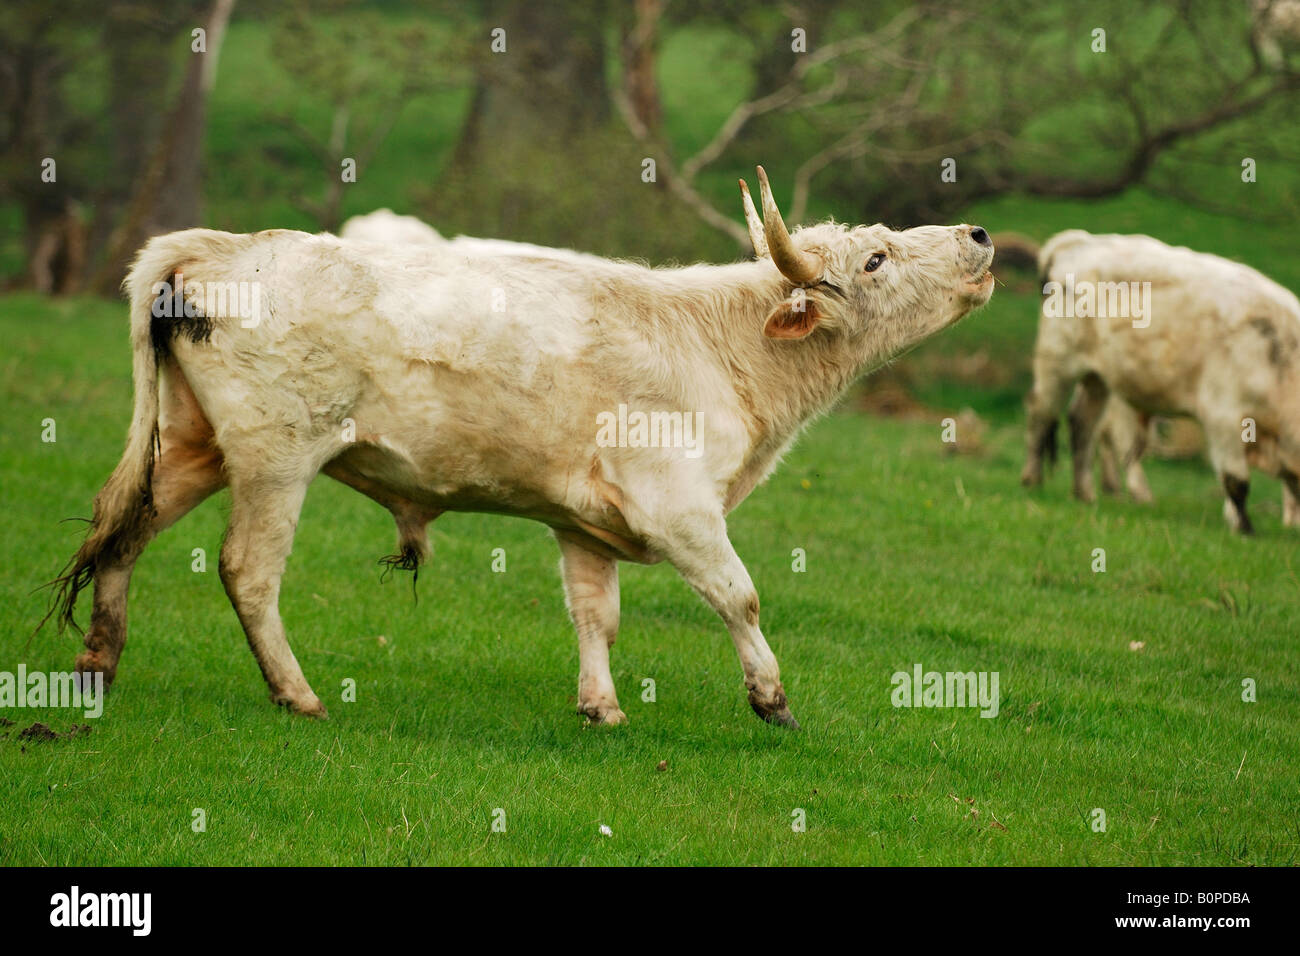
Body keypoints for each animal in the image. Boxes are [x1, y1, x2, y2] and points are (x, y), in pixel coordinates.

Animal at [46, 167, 995, 728]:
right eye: (875, 259)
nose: (979, 237)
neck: (716, 342)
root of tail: (215, 246)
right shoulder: (679, 508)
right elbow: (741, 596)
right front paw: (771, 699)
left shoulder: (585, 524)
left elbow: (595, 614)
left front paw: (602, 708)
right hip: (276, 459)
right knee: (247, 569)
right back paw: (298, 694)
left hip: (193, 451)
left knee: (120, 532)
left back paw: (97, 666)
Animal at [1021, 229, 1300, 533]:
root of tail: (1081, 241)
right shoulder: (1223, 416)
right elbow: (1236, 482)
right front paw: (1244, 527)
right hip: (1056, 362)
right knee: (1041, 414)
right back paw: (1032, 480)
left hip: (1099, 377)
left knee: (1083, 423)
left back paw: (1084, 493)